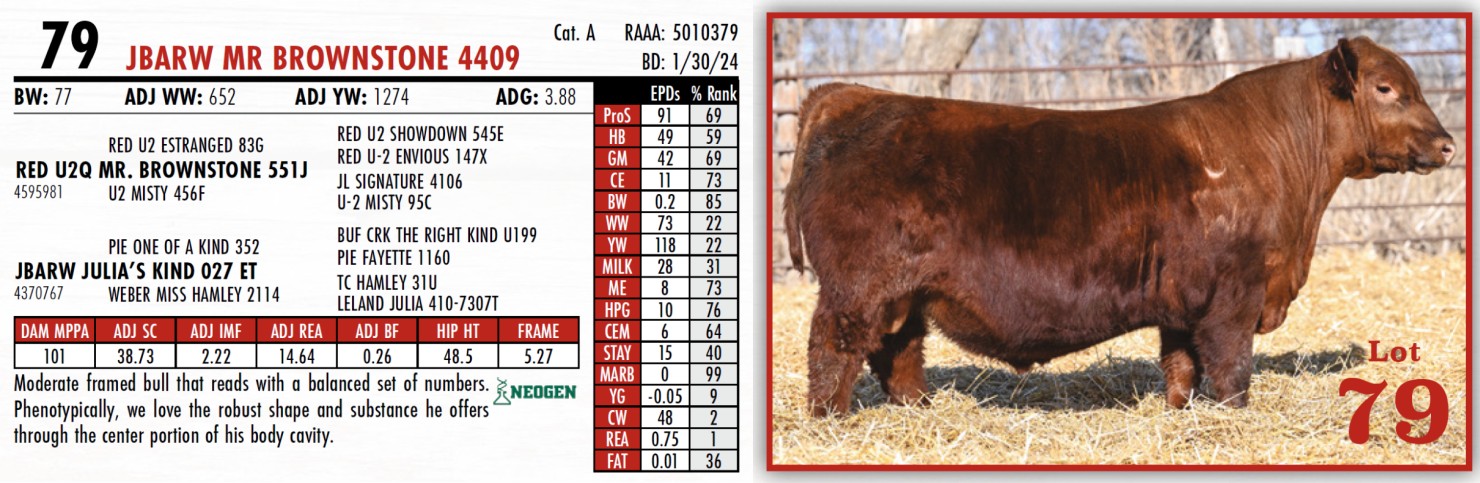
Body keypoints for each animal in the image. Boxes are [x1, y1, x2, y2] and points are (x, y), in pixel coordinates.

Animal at [783, 37, 1457, 417]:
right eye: (1386, 87)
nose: (1448, 144)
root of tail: (852, 97)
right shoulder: (1234, 295)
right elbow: (1231, 367)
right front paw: (1234, 416)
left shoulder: (1186, 301)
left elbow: (1181, 365)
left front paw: (1181, 413)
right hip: (857, 286)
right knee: (833, 347)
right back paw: (832, 420)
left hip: (904, 293)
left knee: (898, 351)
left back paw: (919, 410)